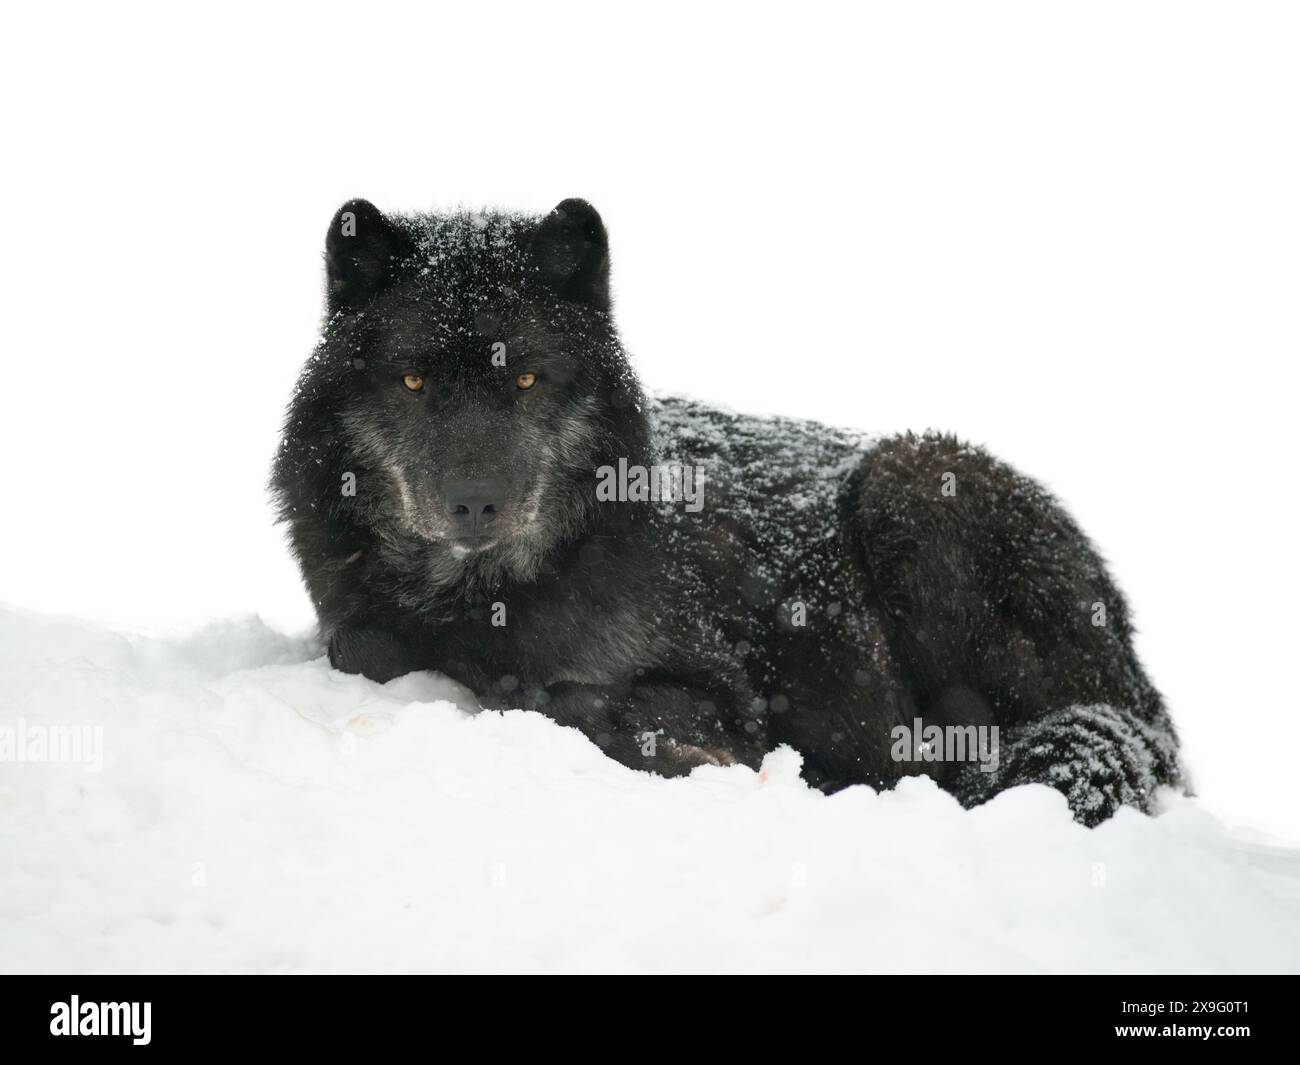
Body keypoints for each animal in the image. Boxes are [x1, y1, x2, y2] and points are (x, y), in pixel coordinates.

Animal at [272, 196, 1181, 825]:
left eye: (526, 377)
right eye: (412, 380)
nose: (475, 503)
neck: (484, 595)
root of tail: (1142, 690)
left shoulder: (723, 686)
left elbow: (576, 697)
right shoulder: (353, 618)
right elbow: (366, 644)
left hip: (914, 480)